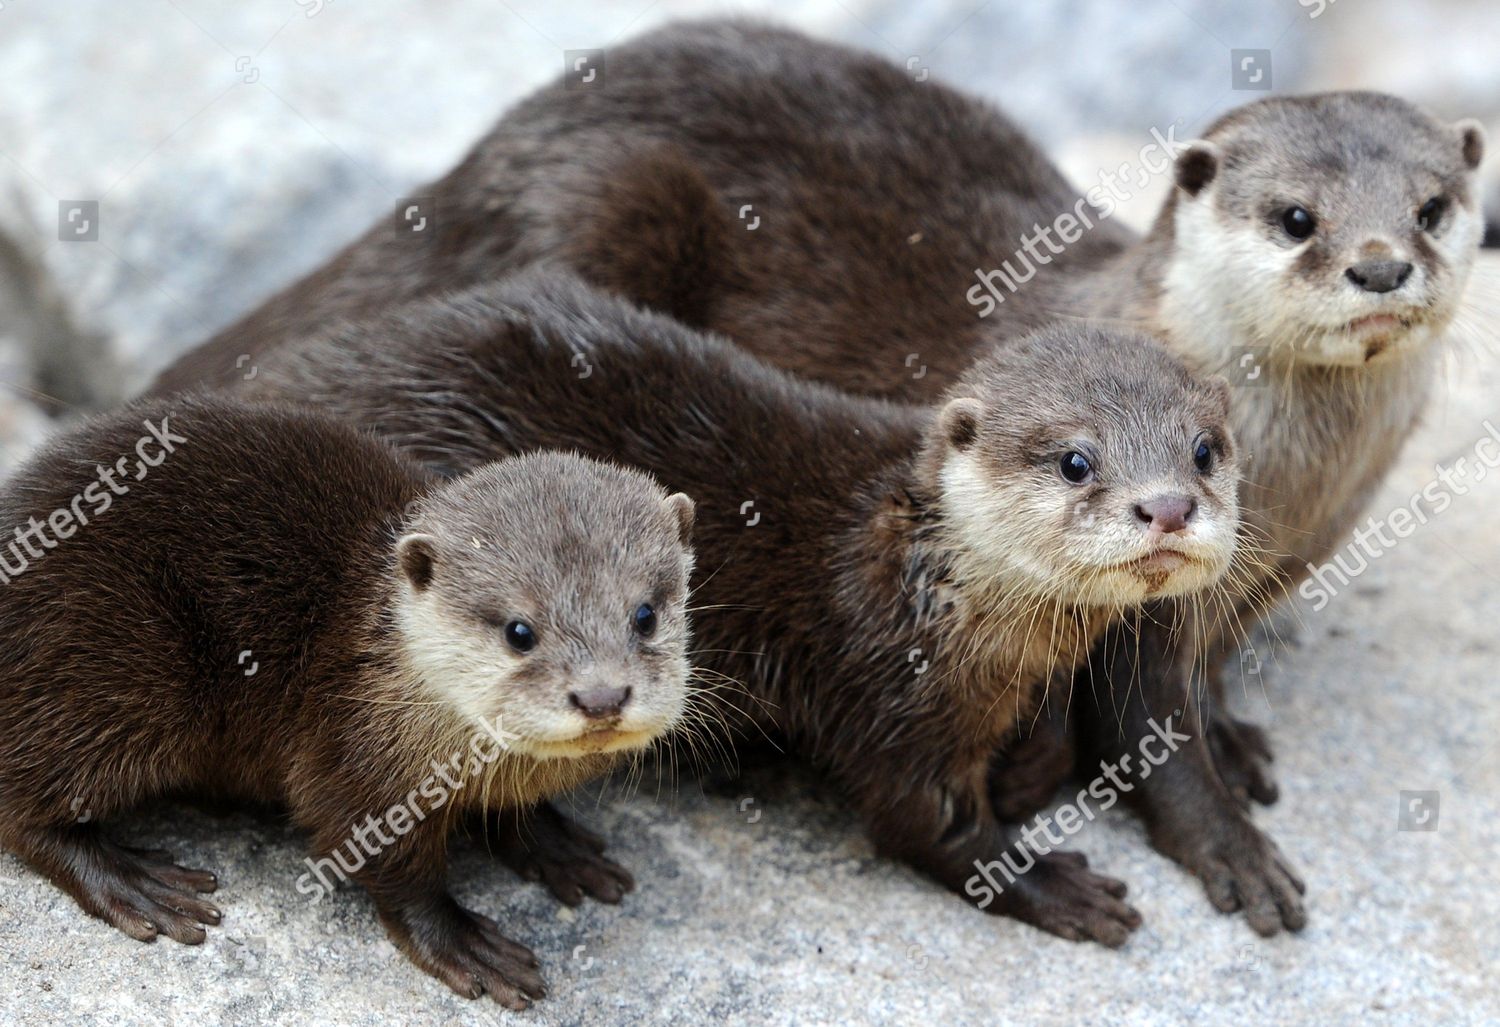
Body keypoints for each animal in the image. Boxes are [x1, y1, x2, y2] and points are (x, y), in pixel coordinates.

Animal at [0, 396, 697, 1009]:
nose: (602, 695)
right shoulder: (350, 750)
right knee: (24, 806)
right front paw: (460, 940)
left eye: (644, 615)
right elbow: (379, 855)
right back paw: (135, 883)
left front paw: (555, 845)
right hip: (115, 668)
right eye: (519, 631)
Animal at [199, 270, 1242, 947]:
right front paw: (1051, 880)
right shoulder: (890, 695)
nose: (1168, 508)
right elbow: (925, 824)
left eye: (1205, 449)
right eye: (1075, 459)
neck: (925, 585)